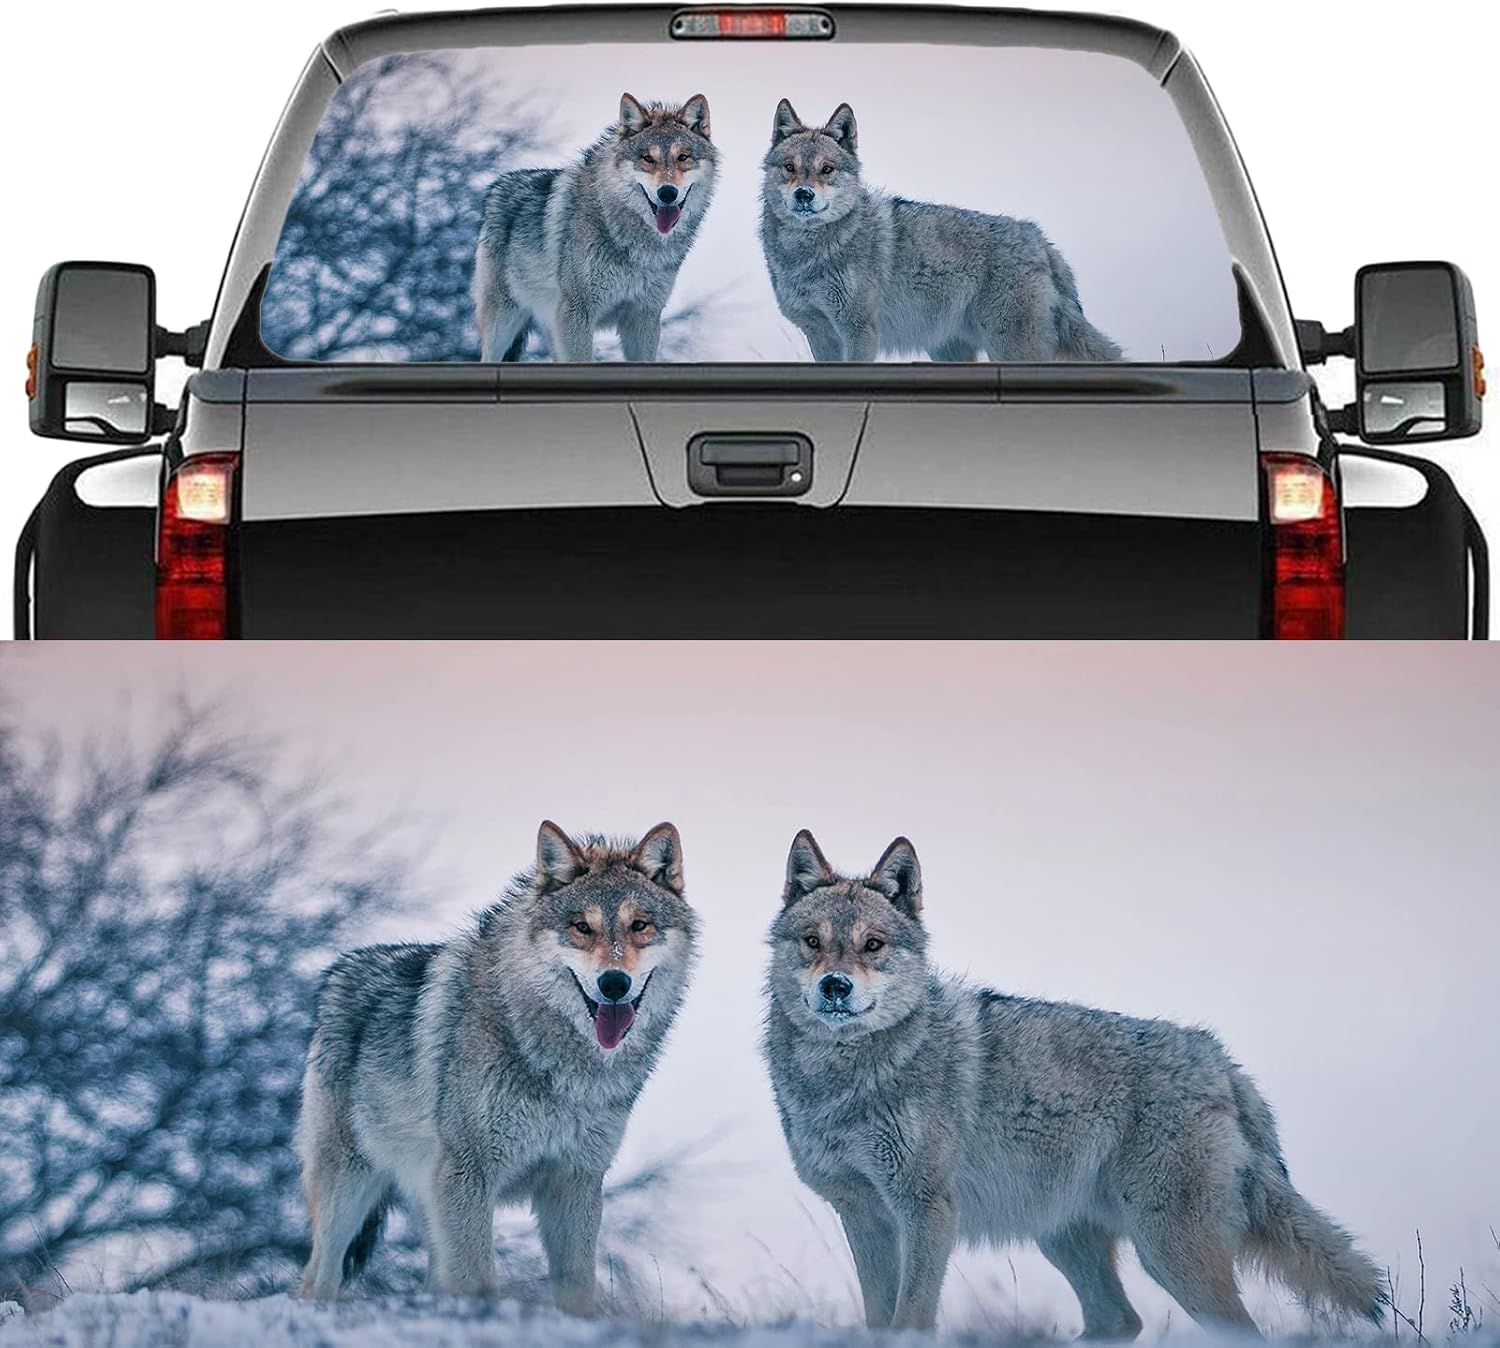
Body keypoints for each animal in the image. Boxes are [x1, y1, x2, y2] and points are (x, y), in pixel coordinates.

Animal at [297, 820, 697, 1310]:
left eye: (639, 925)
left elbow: (576, 1285)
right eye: (581, 927)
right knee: (317, 1278)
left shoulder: (576, 1181)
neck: (560, 1063)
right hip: (349, 1190)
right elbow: (478, 1282)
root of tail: (340, 969)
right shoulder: (470, 1174)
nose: (614, 983)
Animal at [473, 94, 717, 362]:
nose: (667, 193)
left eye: (683, 157)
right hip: (503, 324)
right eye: (647, 158)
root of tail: (498, 185)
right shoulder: (577, 313)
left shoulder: (644, 317)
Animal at [760, 100, 1121, 363]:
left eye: (827, 169)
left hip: (1010, 349)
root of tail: (1042, 241)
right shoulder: (820, 336)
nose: (803, 195)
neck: (808, 252)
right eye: (790, 167)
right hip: (951, 351)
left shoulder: (859, 331)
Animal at [762, 830, 1384, 1335]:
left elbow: (909, 1319)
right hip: (1068, 1240)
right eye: (813, 942)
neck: (842, 1079)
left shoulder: (926, 1210)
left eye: (873, 945)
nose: (836, 987)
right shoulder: (863, 1215)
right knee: (1120, 1320)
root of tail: (1222, 1061)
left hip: (1170, 1253)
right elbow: (878, 1318)